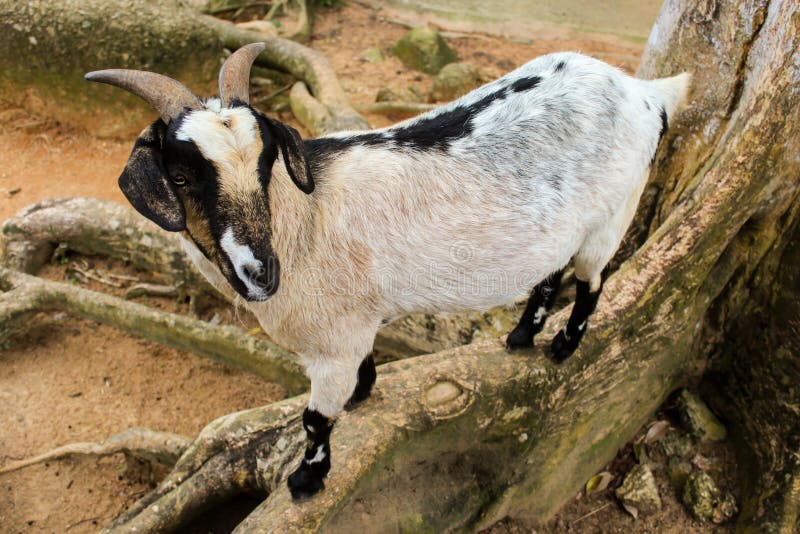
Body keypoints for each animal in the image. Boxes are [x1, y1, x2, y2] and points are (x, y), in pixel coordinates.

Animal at [86, 43, 690, 499]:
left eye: (264, 164)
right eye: (181, 178)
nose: (260, 272)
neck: (303, 222)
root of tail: (646, 91)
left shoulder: (332, 344)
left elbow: (314, 420)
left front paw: (307, 481)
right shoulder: (354, 325)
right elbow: (363, 367)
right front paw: (362, 395)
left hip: (612, 217)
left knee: (592, 283)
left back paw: (563, 347)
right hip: (561, 232)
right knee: (550, 274)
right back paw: (522, 335)